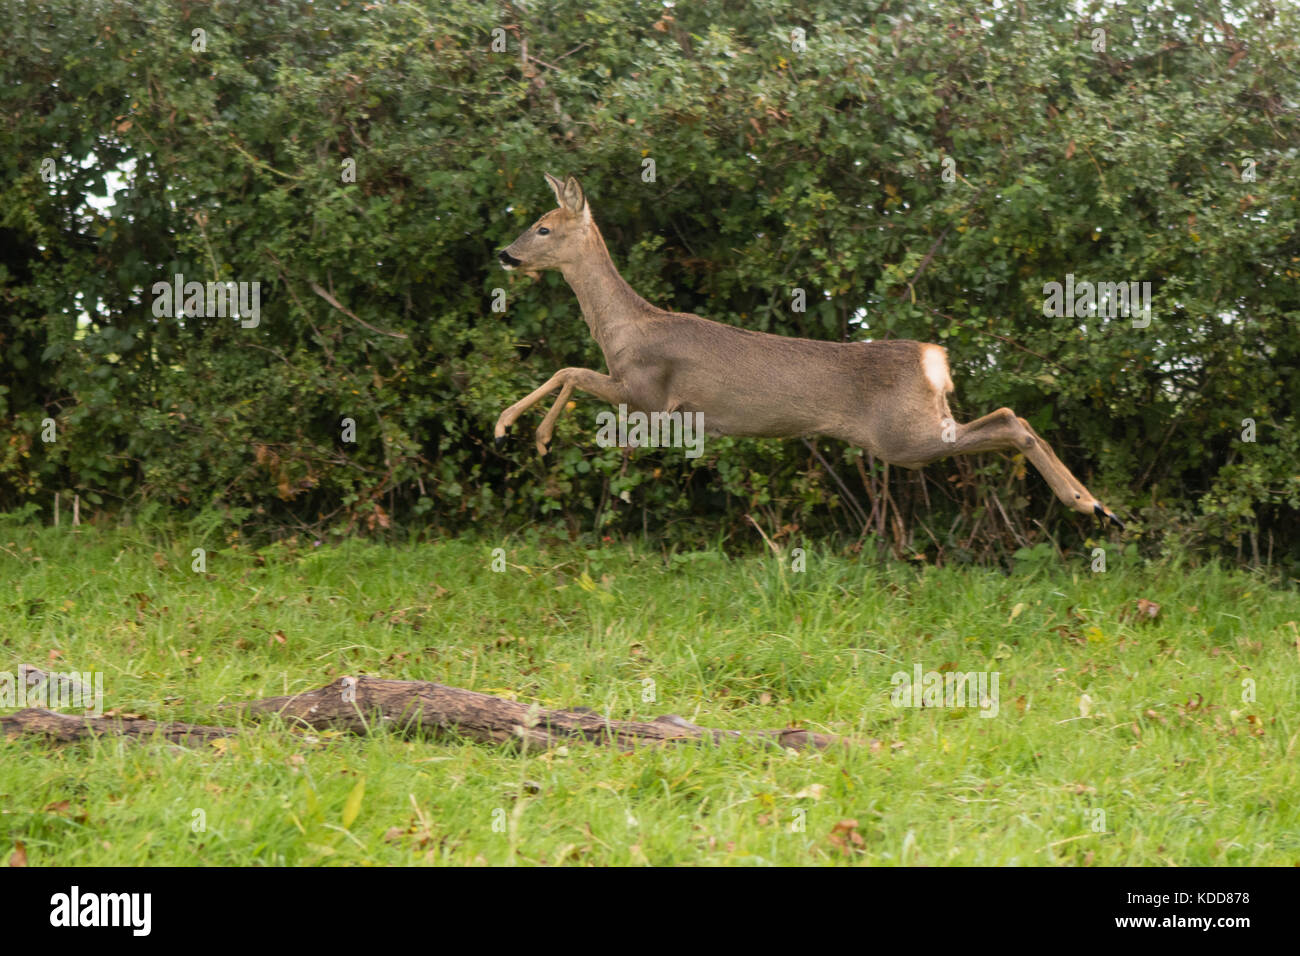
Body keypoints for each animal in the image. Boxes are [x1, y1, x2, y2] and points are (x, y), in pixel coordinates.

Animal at [495, 173, 1124, 531]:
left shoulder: (649, 393)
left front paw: (520, 431)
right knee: (1010, 417)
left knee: (1011, 421)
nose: (505, 254)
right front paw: (530, 434)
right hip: (923, 422)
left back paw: (1091, 506)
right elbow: (570, 370)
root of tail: (932, 358)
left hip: (902, 437)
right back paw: (1099, 506)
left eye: (543, 227)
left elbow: (569, 369)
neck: (625, 328)